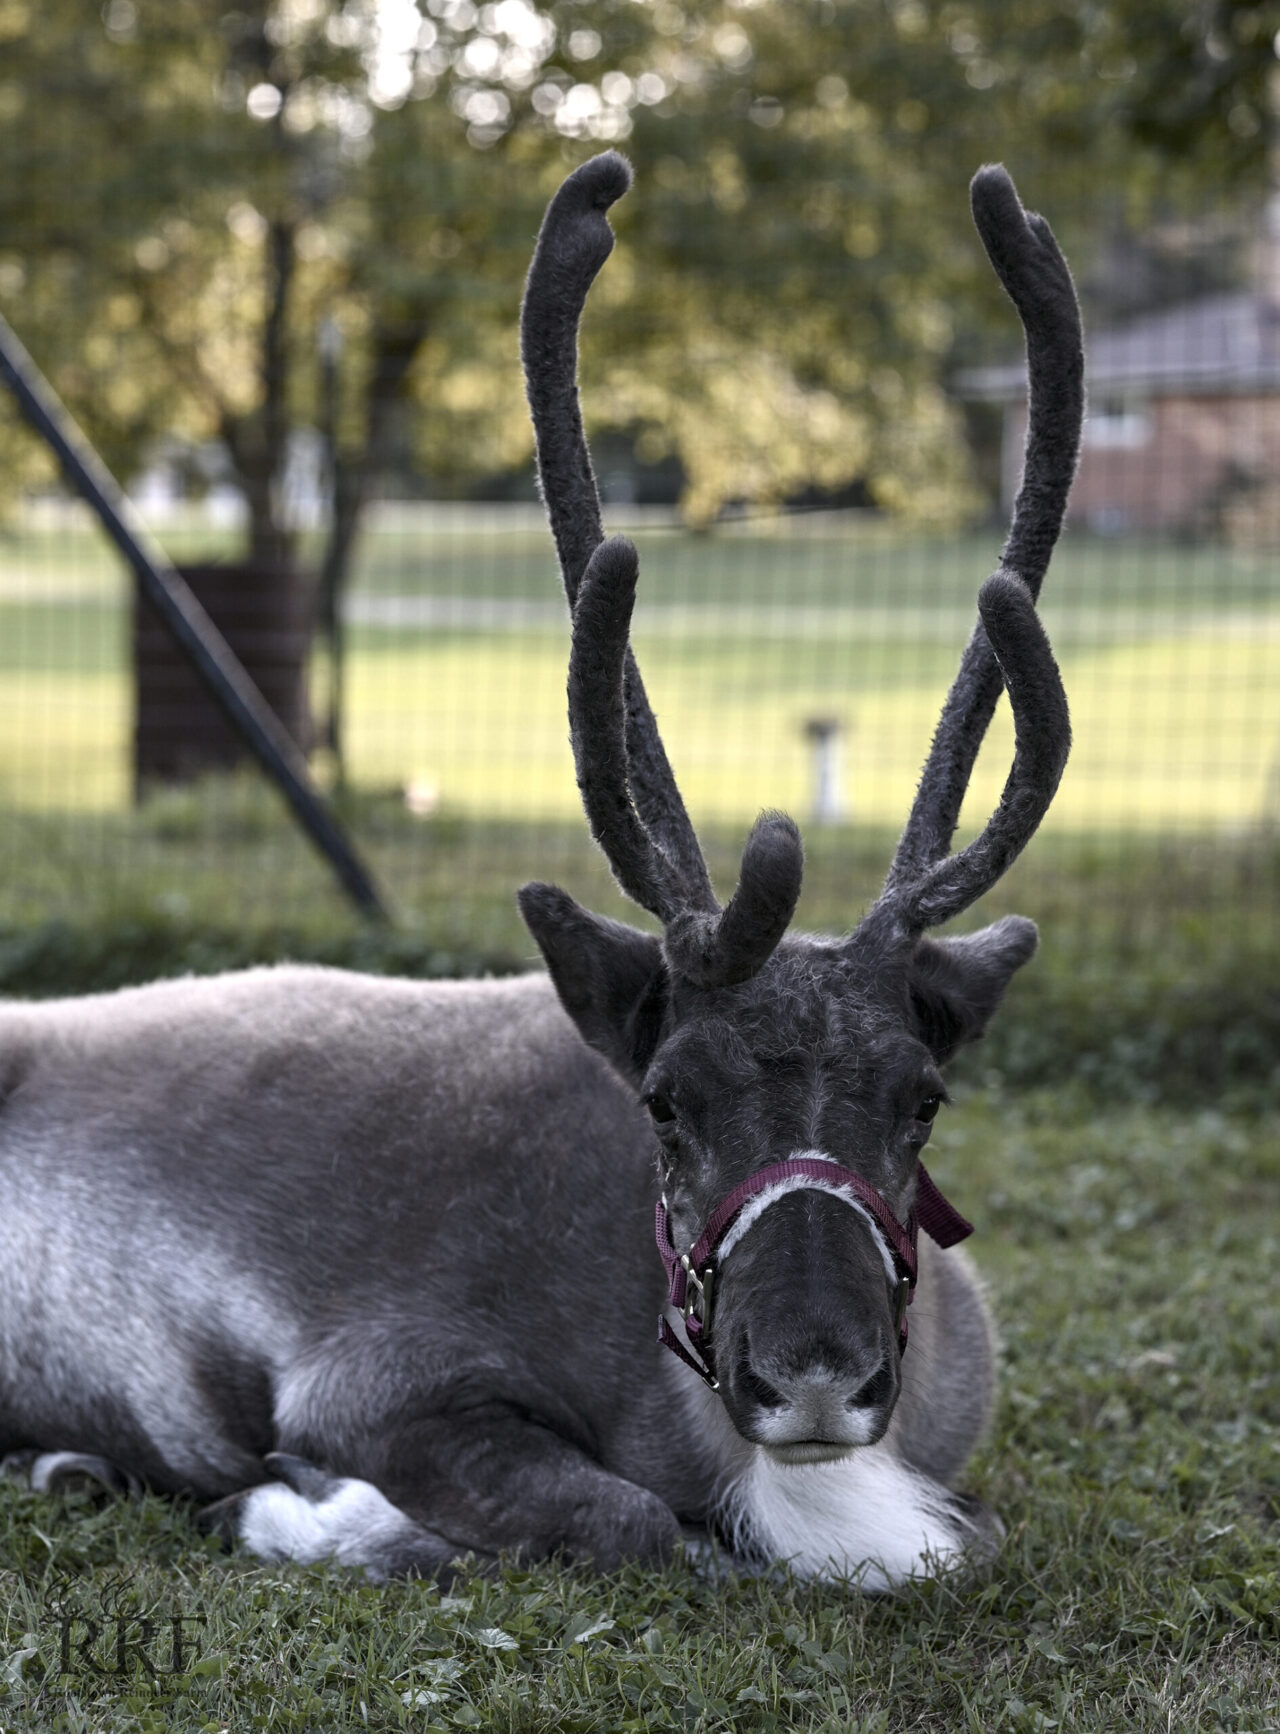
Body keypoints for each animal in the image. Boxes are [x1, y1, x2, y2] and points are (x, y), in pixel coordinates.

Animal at [0, 154, 1082, 1590]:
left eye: (926, 1098)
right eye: (665, 1101)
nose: (814, 1374)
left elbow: (973, 1527)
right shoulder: (376, 1379)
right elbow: (630, 1520)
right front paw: (290, 1506)